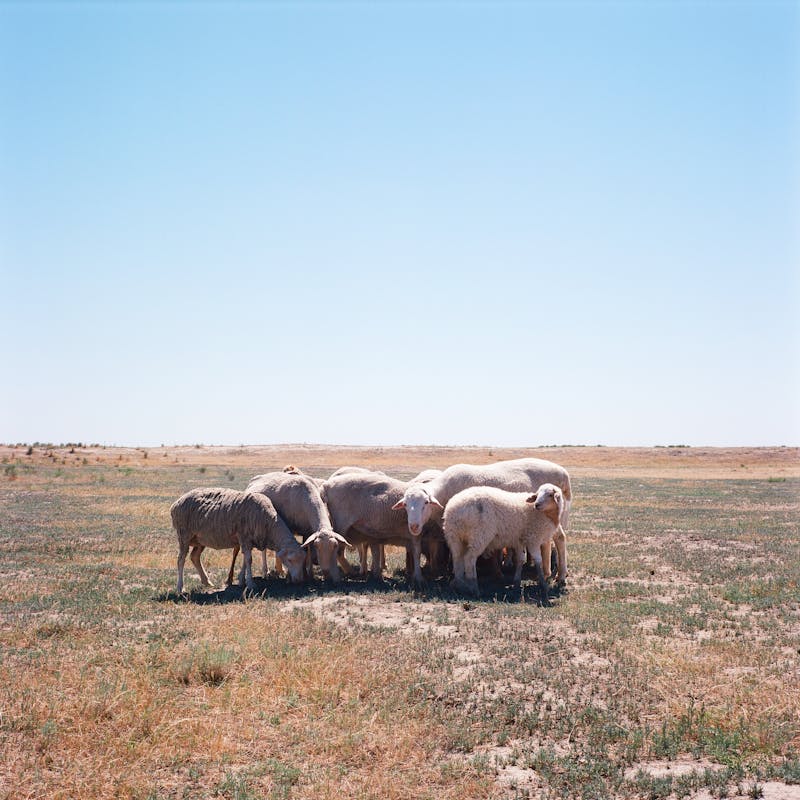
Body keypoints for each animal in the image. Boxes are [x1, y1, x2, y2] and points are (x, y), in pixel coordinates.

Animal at [171, 488, 306, 594]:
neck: (269, 524)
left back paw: (207, 582)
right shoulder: (245, 537)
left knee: (194, 557)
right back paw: (180, 587)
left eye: (302, 560)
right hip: (184, 534)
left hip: (200, 539)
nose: (299, 580)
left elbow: (246, 560)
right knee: (181, 559)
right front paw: (251, 584)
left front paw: (242, 580)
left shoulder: (247, 540)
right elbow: (249, 560)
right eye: (289, 560)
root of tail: (175, 504)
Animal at [393, 457, 571, 579]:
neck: (443, 491)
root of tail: (563, 473)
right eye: (406, 505)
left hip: (552, 515)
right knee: (548, 542)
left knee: (560, 539)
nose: (414, 526)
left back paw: (561, 576)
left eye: (425, 503)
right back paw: (547, 573)